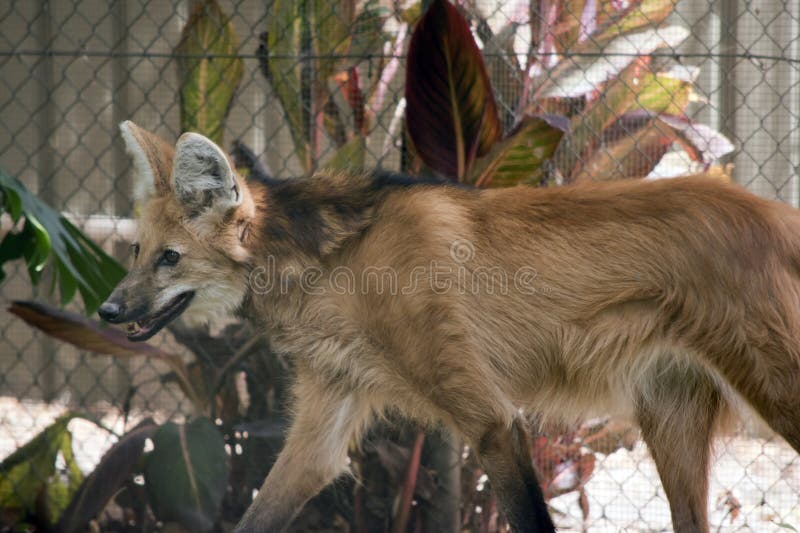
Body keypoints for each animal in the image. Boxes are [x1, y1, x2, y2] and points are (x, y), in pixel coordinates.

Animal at [99, 121, 800, 533]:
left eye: (170, 258)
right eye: (137, 251)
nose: (107, 311)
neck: (332, 266)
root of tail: (775, 213)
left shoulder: (491, 422)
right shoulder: (329, 411)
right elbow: (276, 496)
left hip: (773, 392)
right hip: (670, 413)